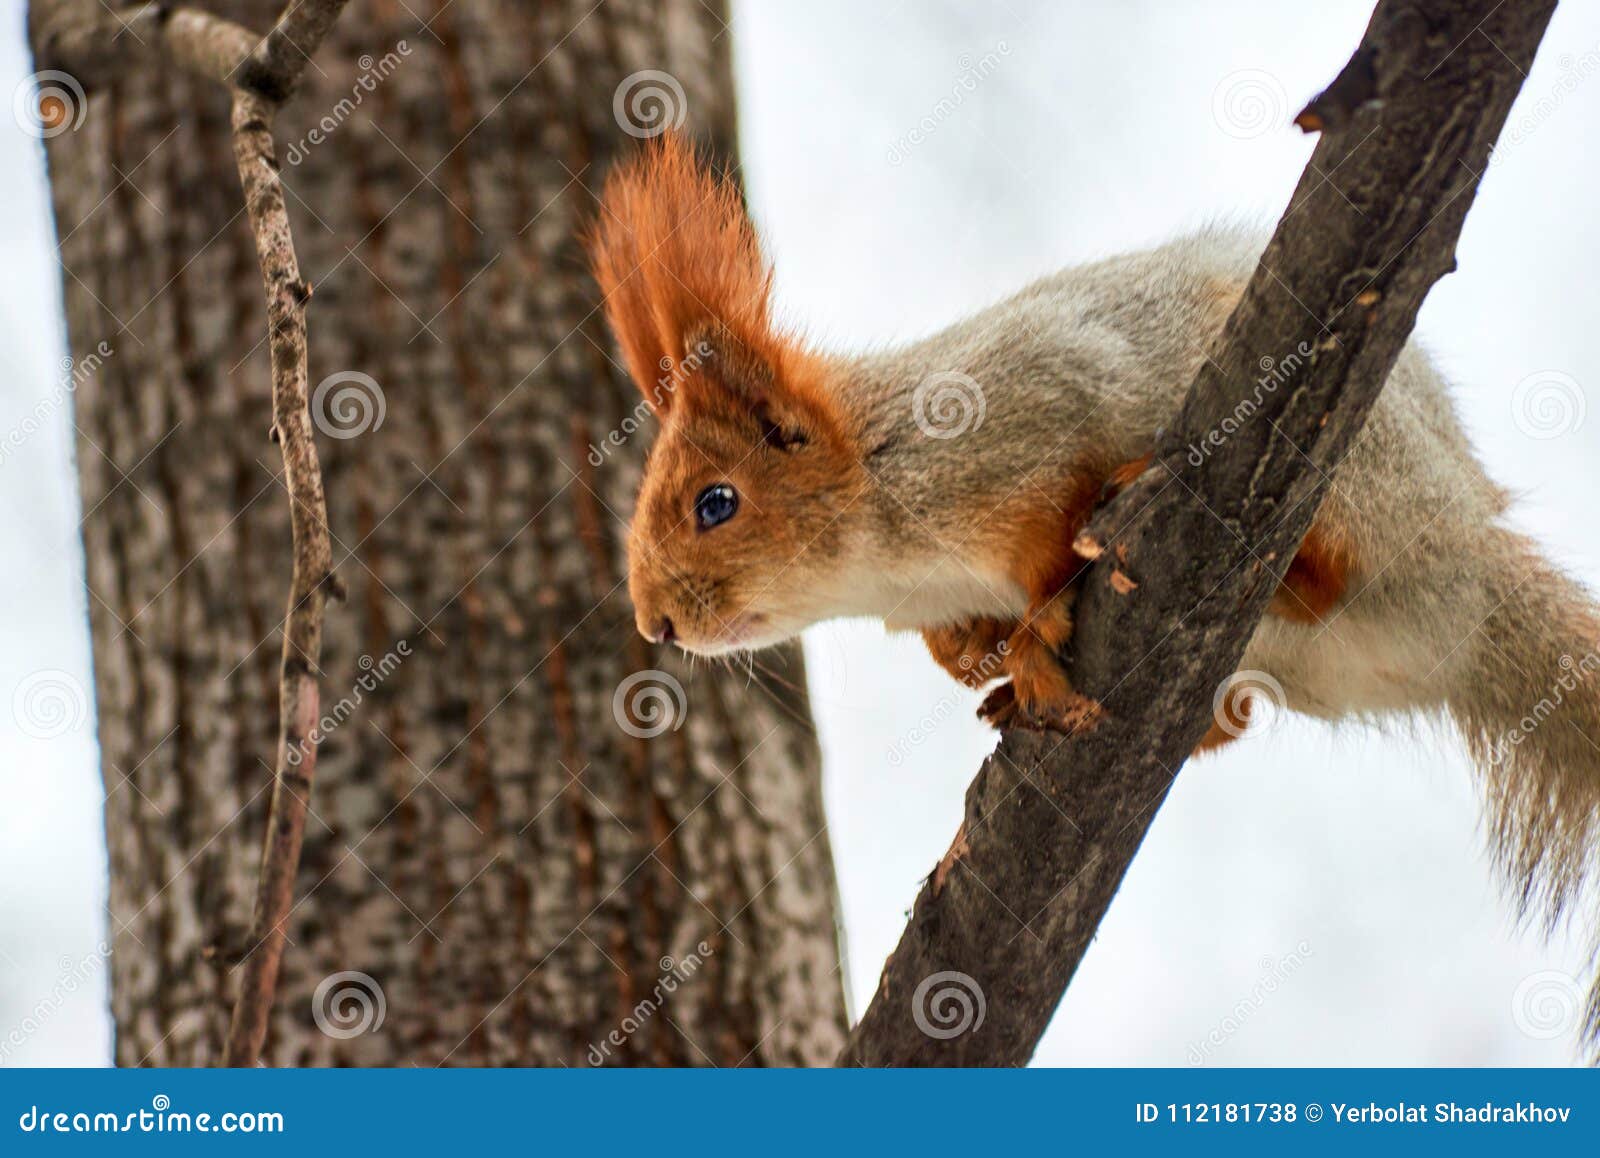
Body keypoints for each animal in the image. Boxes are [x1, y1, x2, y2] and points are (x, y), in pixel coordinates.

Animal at [589, 133, 1600, 1044]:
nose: (655, 622)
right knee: (1238, 715)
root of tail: (1472, 570)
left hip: (1372, 482)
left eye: (716, 503)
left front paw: (1041, 613)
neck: (883, 520)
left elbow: (1052, 503)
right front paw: (973, 655)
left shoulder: (1037, 402)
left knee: (1326, 573)